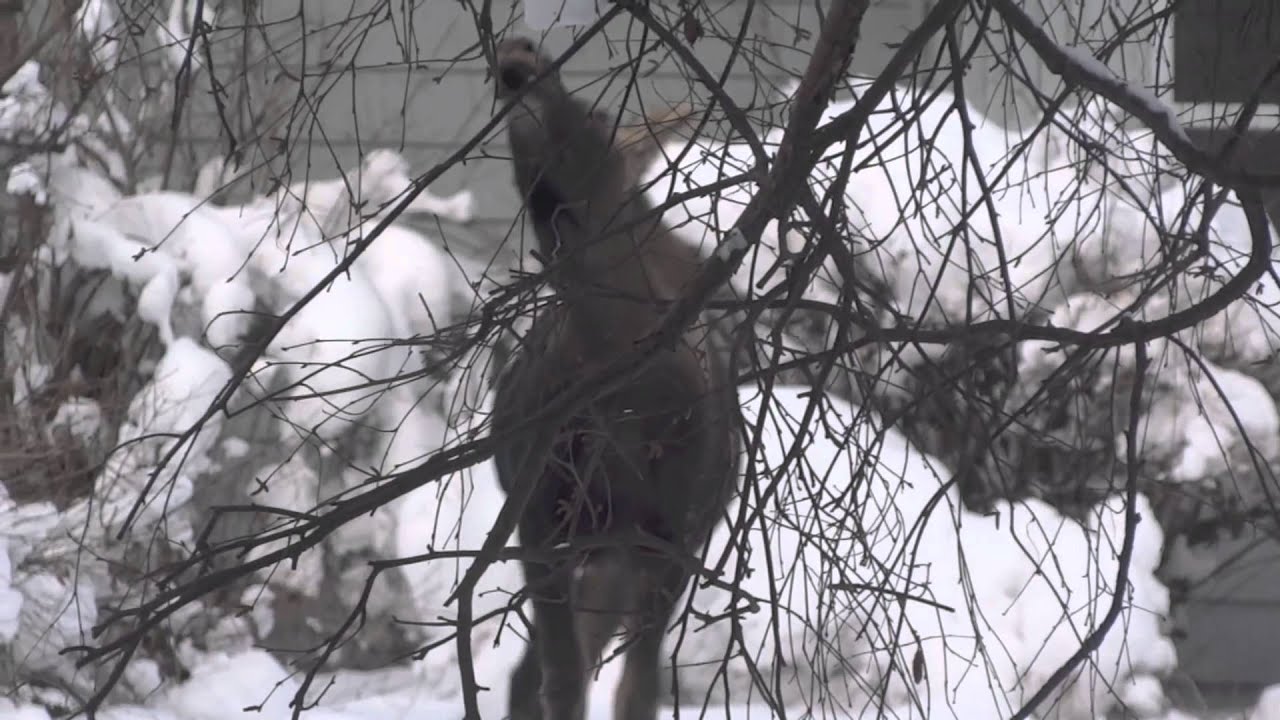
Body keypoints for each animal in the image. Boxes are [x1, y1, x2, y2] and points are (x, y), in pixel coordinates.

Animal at [487, 36, 743, 720]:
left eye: (601, 116)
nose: (518, 53)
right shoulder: (538, 526)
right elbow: (565, 680)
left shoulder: (671, 537)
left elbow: (636, 690)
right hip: (589, 547)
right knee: (538, 671)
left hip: (628, 552)